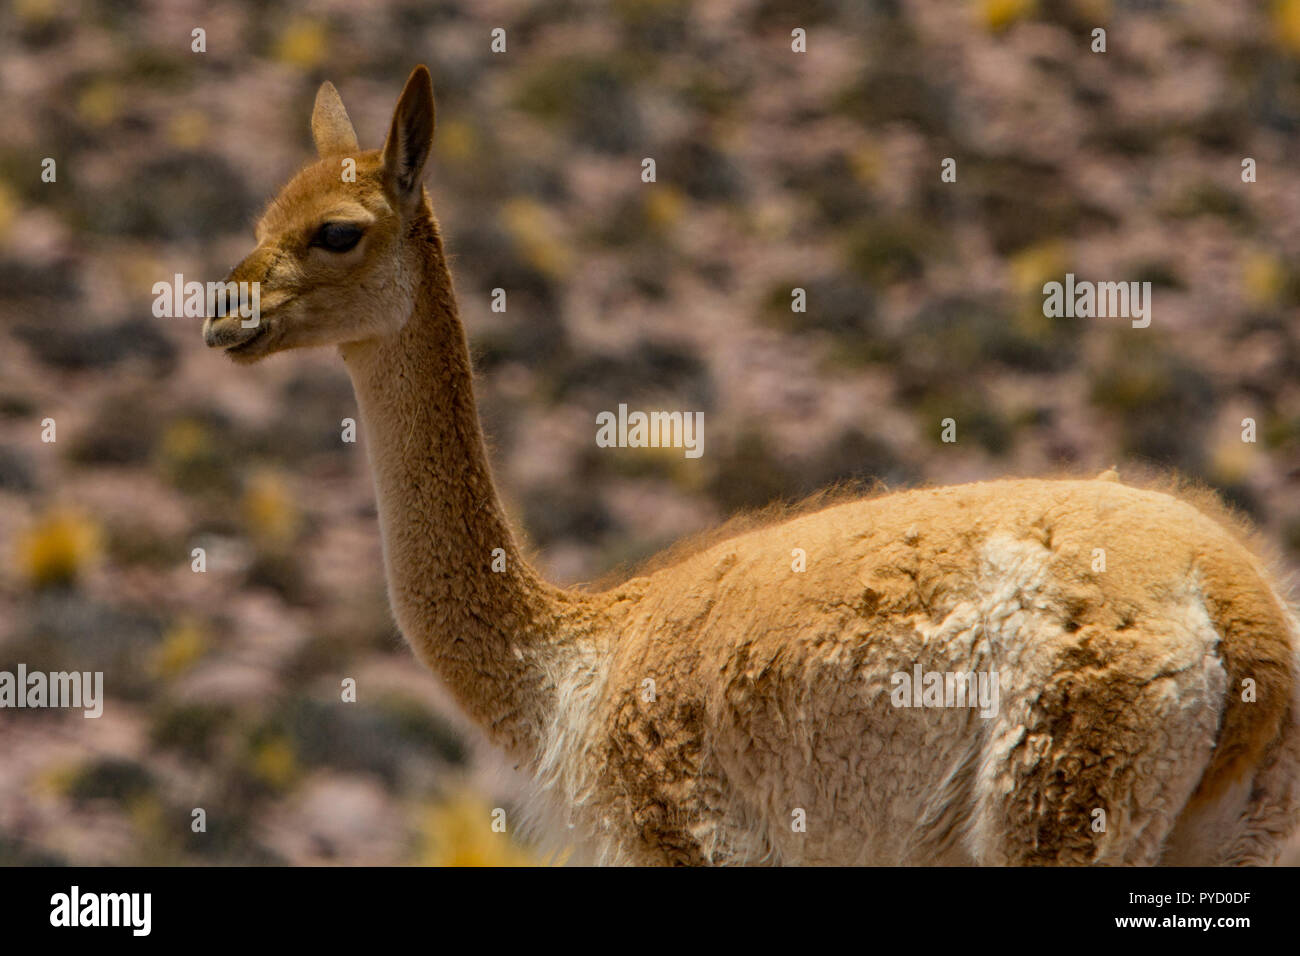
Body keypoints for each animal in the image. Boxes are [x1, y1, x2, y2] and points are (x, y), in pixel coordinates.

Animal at [202, 66, 1300, 865]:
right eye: (259, 220)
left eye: (336, 233)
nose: (221, 314)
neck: (575, 668)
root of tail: (1236, 614)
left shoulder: (681, 830)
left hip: (1062, 789)